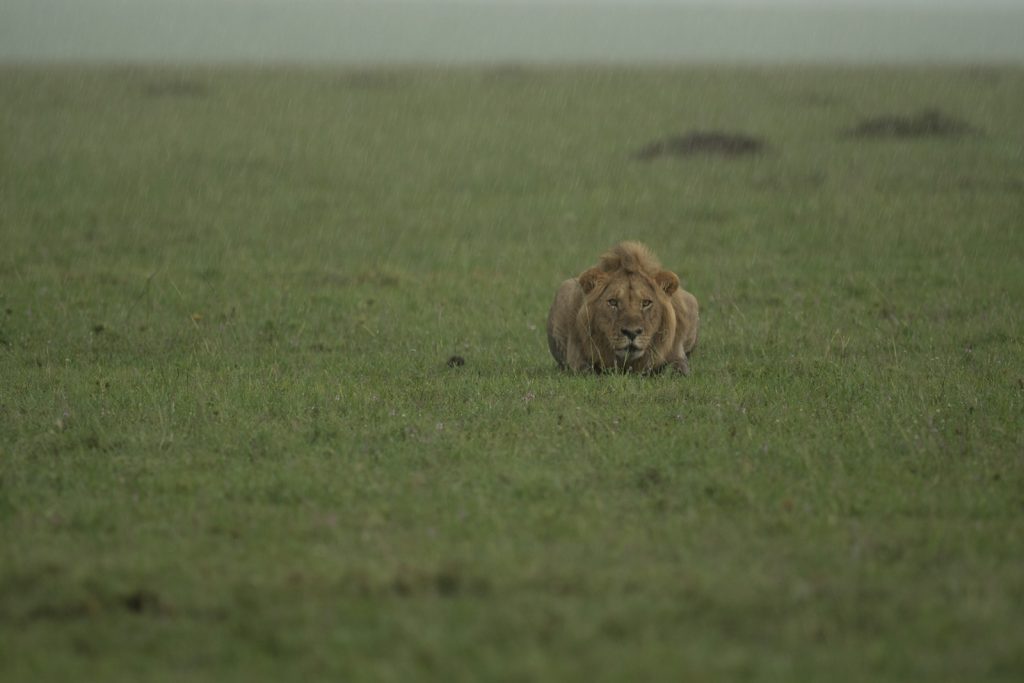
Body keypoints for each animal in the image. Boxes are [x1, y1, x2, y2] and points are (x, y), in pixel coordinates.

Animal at [546, 241, 699, 374]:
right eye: (613, 302)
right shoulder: (576, 357)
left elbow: (679, 368)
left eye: (646, 303)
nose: (632, 333)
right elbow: (586, 370)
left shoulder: (677, 355)